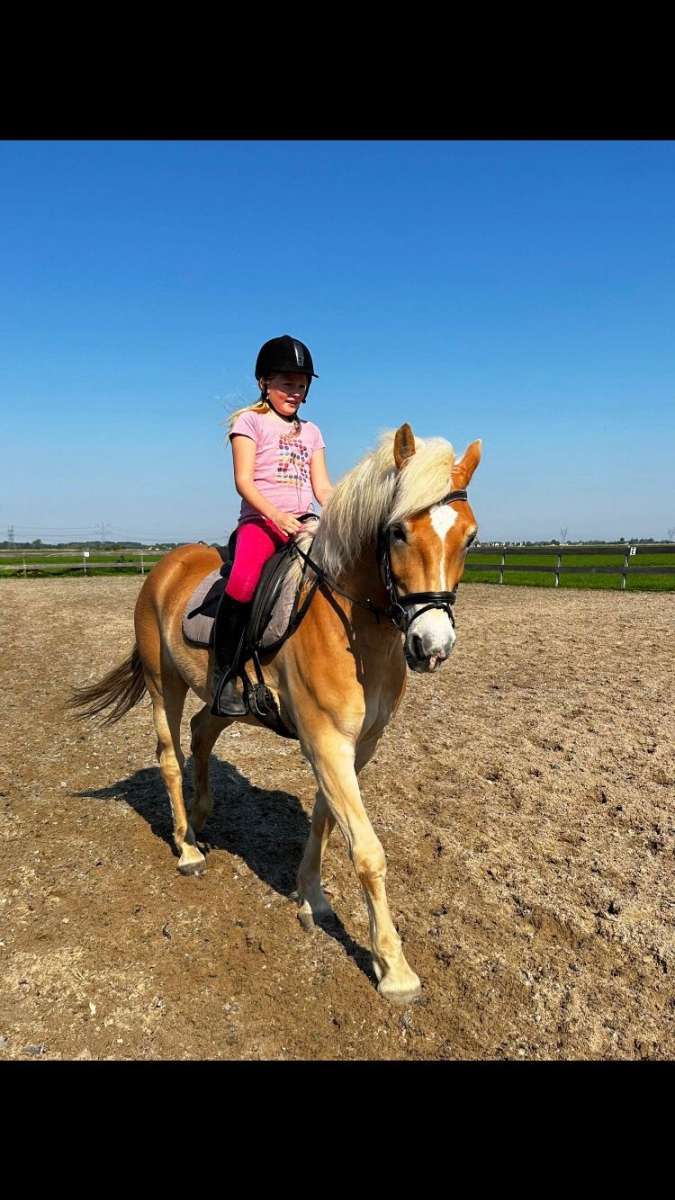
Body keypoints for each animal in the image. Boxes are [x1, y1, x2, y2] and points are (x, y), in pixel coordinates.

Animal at [70, 423, 481, 1002]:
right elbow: (367, 850)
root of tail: (168, 565)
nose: (432, 645)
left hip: (223, 696)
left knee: (201, 732)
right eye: (398, 532)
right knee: (169, 754)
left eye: (469, 538)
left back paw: (201, 816)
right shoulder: (326, 741)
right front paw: (394, 969)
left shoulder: (356, 747)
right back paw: (187, 847)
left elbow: (326, 821)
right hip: (161, 682)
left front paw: (311, 898)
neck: (352, 623)